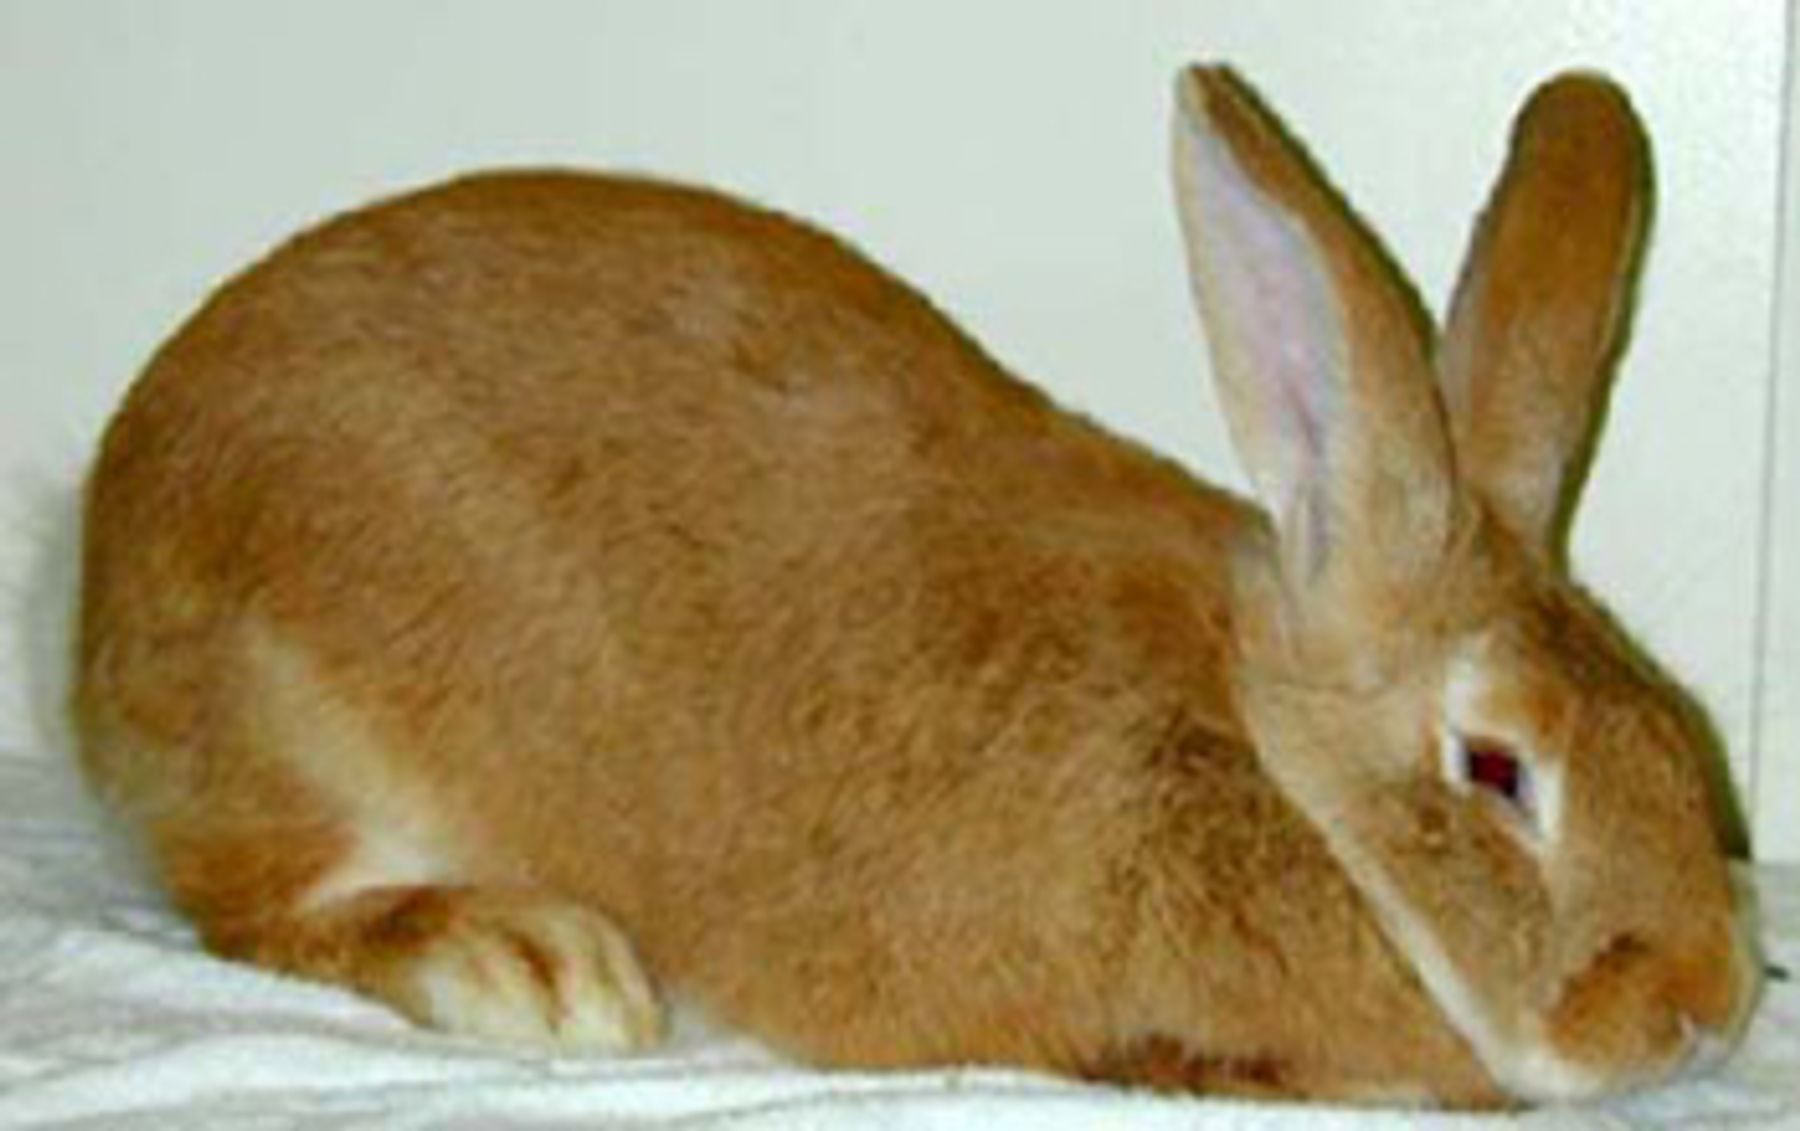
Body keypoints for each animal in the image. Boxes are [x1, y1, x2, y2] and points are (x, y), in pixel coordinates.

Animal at [73, 64, 1760, 1108]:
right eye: (1498, 767)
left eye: (1681, 735)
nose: (1708, 1003)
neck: (1274, 772)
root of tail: (106, 526)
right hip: (295, 720)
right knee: (256, 904)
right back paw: (530, 962)